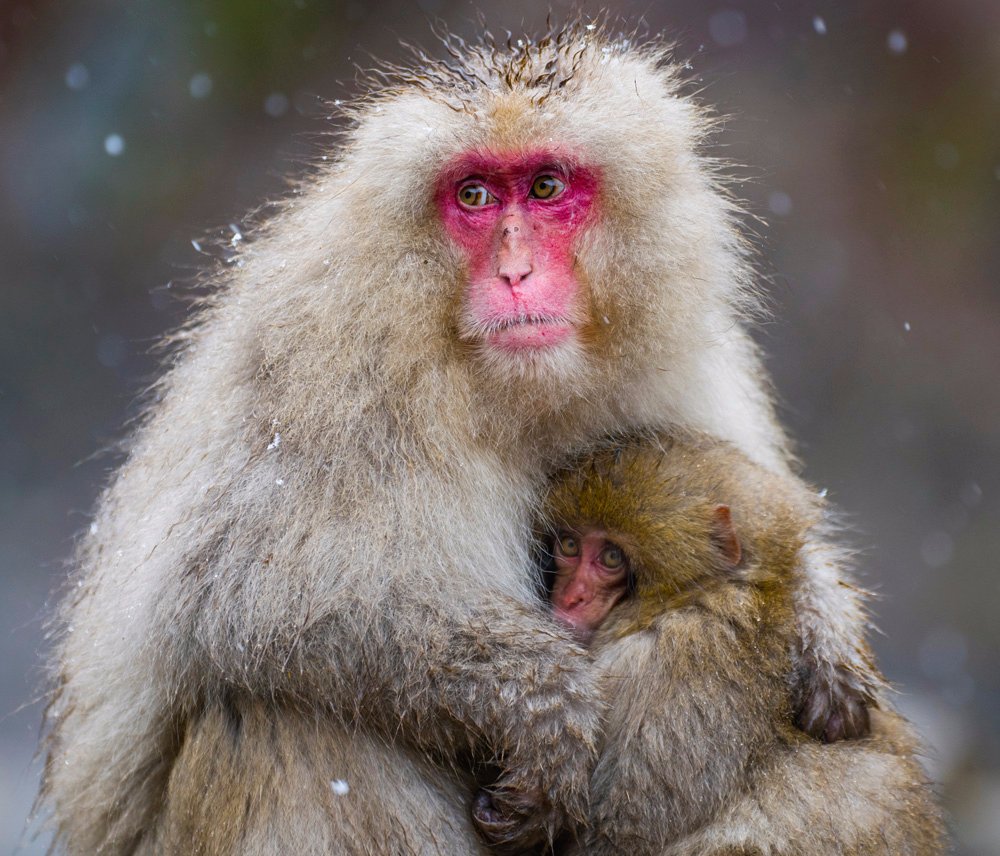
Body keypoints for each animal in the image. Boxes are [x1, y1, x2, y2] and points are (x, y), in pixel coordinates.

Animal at [41, 23, 882, 855]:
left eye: (545, 188)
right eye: (473, 195)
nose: (514, 273)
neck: (506, 390)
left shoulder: (686, 359)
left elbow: (767, 523)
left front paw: (823, 627)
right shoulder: (321, 370)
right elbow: (245, 593)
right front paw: (542, 707)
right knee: (280, 715)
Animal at [473, 431, 944, 855]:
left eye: (610, 558)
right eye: (570, 545)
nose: (571, 598)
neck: (700, 595)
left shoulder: (671, 661)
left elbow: (622, 833)